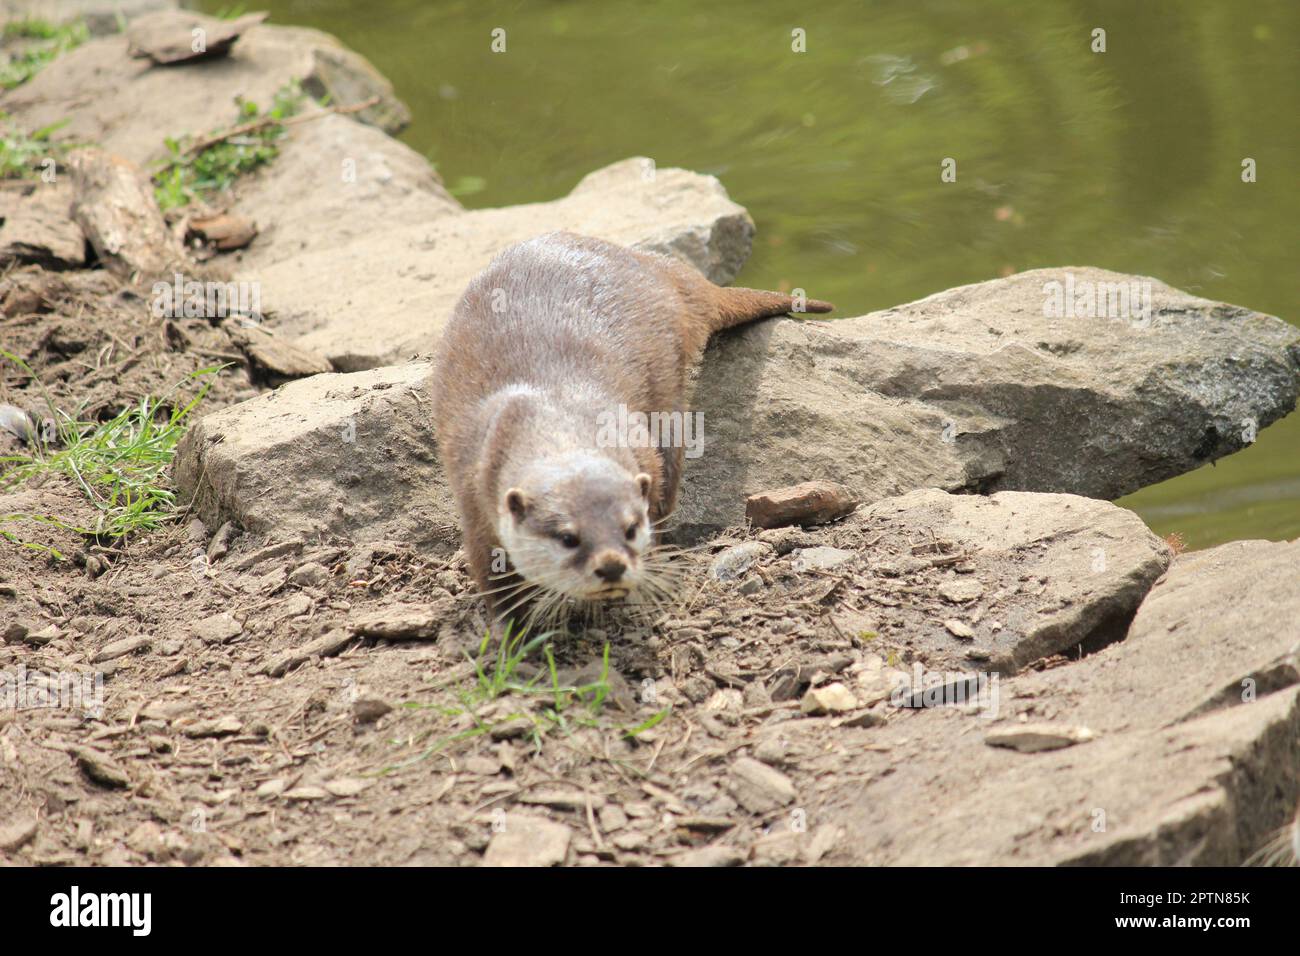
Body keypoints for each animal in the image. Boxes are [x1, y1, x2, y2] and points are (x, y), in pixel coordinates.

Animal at [432, 231, 831, 629]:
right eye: (568, 538)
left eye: (630, 528)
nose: (611, 566)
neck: (552, 412)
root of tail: (655, 266)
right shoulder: (474, 492)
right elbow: (492, 575)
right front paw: (509, 631)